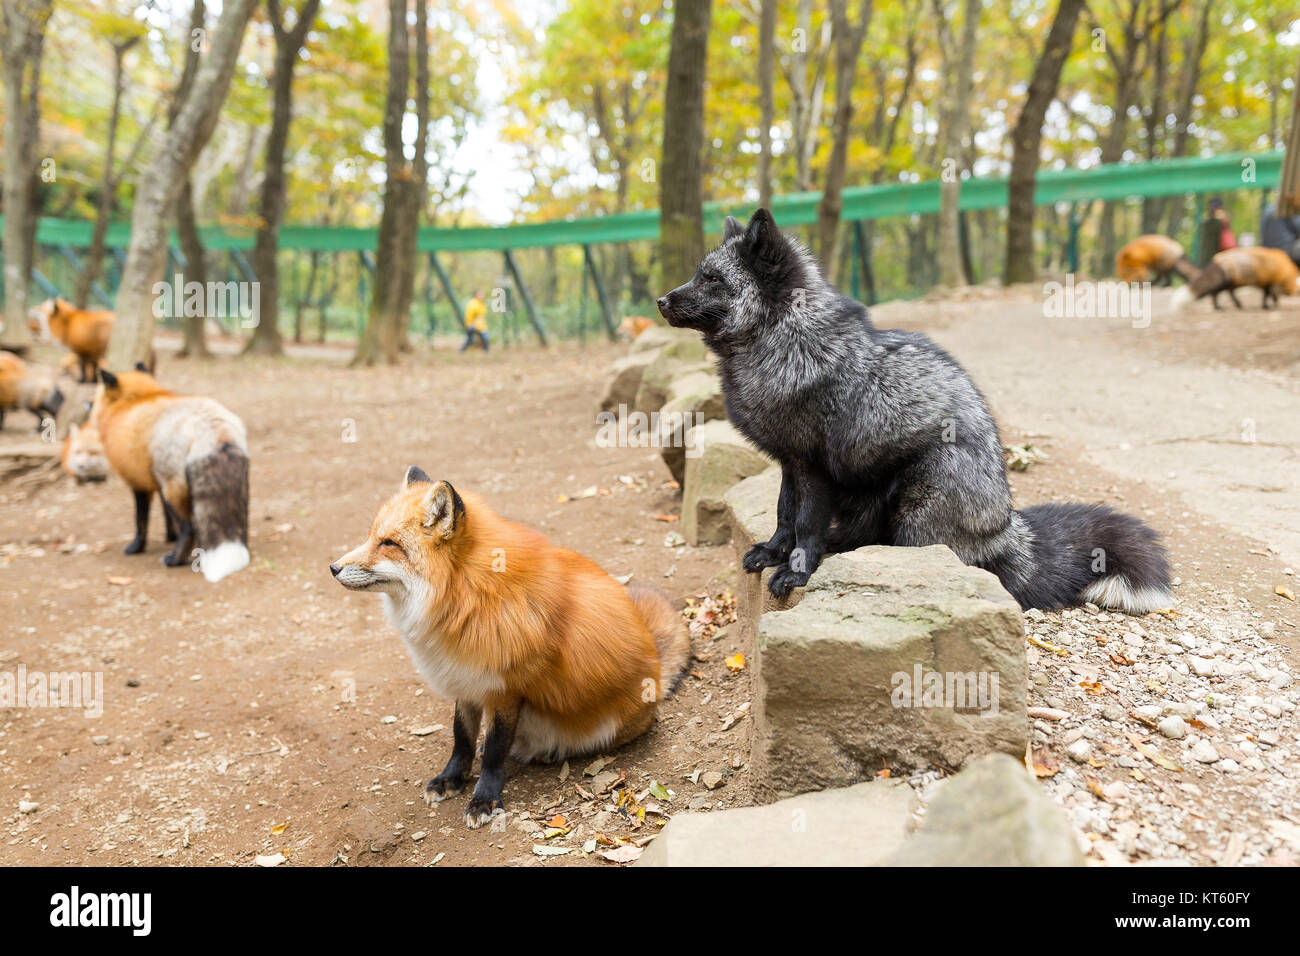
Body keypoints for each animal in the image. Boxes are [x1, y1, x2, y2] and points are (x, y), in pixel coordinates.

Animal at [93, 366, 249, 582]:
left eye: (95, 399)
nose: (87, 405)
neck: (131, 402)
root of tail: (213, 424)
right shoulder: (157, 481)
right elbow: (166, 520)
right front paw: (169, 537)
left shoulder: (138, 482)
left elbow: (140, 522)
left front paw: (136, 547)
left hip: (172, 491)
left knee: (189, 527)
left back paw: (175, 559)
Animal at [330, 467, 691, 828]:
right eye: (372, 537)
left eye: (389, 544)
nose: (333, 568)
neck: (467, 597)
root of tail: (656, 666)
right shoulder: (465, 678)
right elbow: (462, 737)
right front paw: (451, 779)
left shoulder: (504, 689)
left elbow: (493, 749)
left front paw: (484, 799)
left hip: (608, 726)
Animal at [656, 209, 1173, 614]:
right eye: (700, 273)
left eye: (712, 279)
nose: (660, 300)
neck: (783, 341)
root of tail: (1005, 525)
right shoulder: (790, 461)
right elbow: (785, 514)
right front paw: (772, 552)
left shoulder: (813, 465)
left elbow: (805, 523)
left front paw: (798, 570)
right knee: (862, 536)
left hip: (916, 508)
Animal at [1170, 246, 1300, 311]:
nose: (1293, 294)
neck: (1284, 268)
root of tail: (1218, 259)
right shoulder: (1268, 282)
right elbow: (1266, 295)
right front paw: (1266, 306)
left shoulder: (1268, 283)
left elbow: (1270, 295)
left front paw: (1272, 303)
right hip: (1226, 283)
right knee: (1217, 293)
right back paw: (1224, 306)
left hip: (1229, 284)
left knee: (1223, 293)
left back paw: (1230, 305)